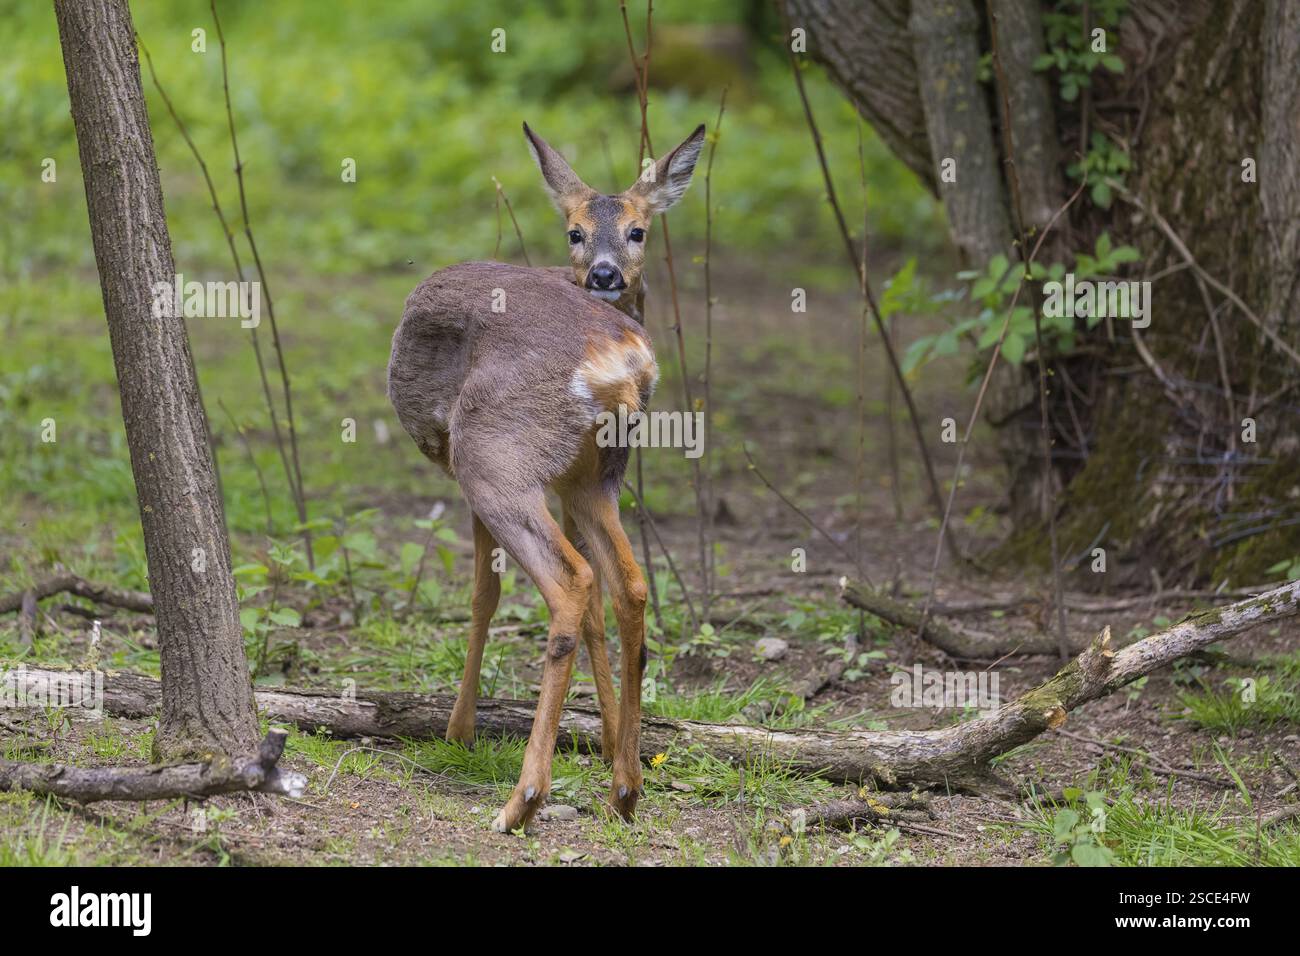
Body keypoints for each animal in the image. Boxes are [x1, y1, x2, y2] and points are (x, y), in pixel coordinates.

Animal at [388, 122, 704, 832]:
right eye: (574, 231)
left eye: (640, 230)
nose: (605, 273)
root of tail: (619, 360)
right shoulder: (566, 484)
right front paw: (611, 740)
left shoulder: (478, 475)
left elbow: (483, 593)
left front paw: (459, 730)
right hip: (595, 477)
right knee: (630, 586)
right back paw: (624, 788)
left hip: (493, 456)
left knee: (573, 584)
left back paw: (522, 799)